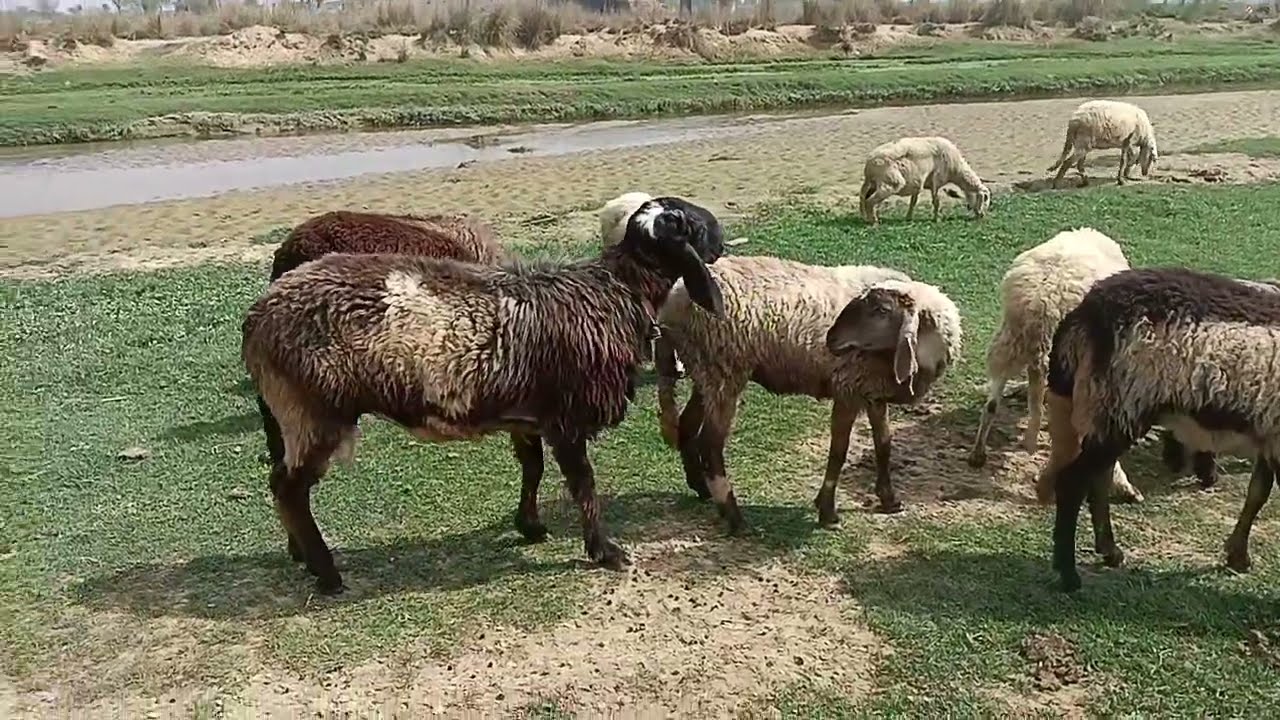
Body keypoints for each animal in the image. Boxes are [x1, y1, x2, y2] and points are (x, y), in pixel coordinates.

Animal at [654, 255, 961, 532]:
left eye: (882, 310)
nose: (831, 339)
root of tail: (674, 301)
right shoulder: (848, 388)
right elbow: (839, 452)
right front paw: (827, 511)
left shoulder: (872, 391)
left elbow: (883, 445)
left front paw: (889, 499)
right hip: (724, 371)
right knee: (711, 444)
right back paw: (735, 517)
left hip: (706, 372)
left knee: (687, 425)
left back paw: (701, 488)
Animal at [859, 136, 991, 226]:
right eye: (985, 199)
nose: (982, 216)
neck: (957, 170)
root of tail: (869, 162)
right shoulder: (936, 181)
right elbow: (936, 201)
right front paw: (937, 219)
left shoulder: (918, 184)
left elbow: (913, 201)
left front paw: (909, 218)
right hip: (891, 182)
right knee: (870, 201)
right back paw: (874, 222)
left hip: (873, 183)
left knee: (863, 198)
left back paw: (866, 218)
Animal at [1037, 266, 1280, 592]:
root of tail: (1087, 314)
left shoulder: (1269, 434)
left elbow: (1257, 493)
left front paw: (1237, 556)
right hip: (1120, 404)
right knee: (1073, 482)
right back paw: (1068, 574)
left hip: (1109, 410)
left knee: (1098, 480)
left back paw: (1110, 552)